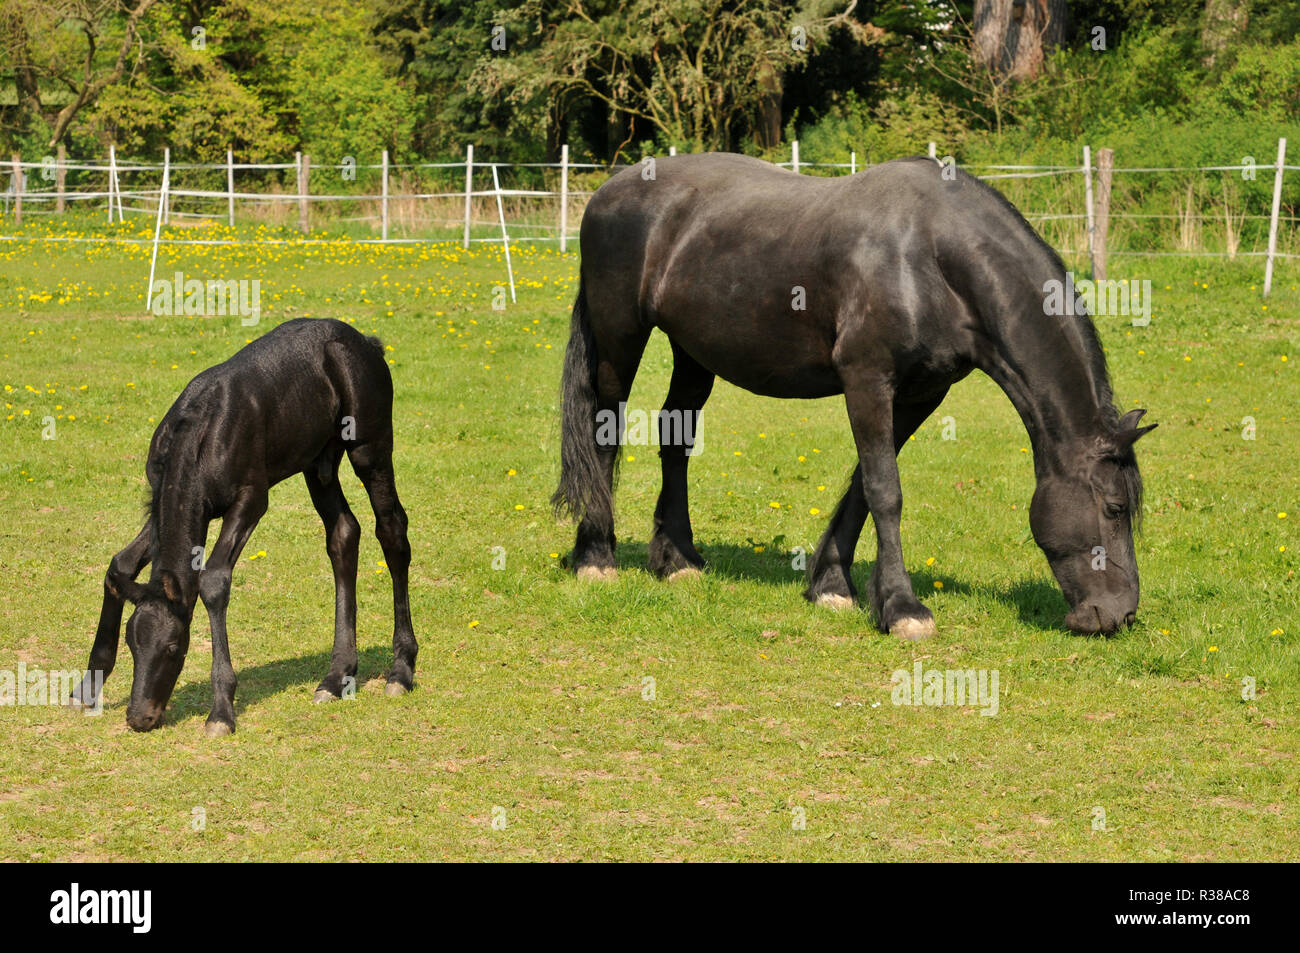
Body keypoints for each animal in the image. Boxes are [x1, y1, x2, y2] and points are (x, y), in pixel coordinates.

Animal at [69, 318, 416, 735]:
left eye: (174, 647)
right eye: (132, 643)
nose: (140, 718)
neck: (199, 434)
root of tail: (368, 343)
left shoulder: (250, 501)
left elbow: (214, 581)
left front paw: (221, 711)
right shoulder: (167, 509)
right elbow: (119, 565)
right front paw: (87, 688)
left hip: (369, 448)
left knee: (391, 531)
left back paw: (401, 671)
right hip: (317, 462)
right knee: (344, 533)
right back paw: (336, 678)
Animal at [552, 153, 1156, 638]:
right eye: (1113, 507)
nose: (1119, 615)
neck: (930, 259)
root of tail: (609, 190)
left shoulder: (919, 396)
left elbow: (865, 488)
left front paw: (831, 585)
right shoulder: (867, 380)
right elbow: (886, 491)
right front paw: (903, 608)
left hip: (693, 353)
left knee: (674, 439)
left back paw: (677, 559)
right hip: (619, 339)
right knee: (604, 430)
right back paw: (595, 555)